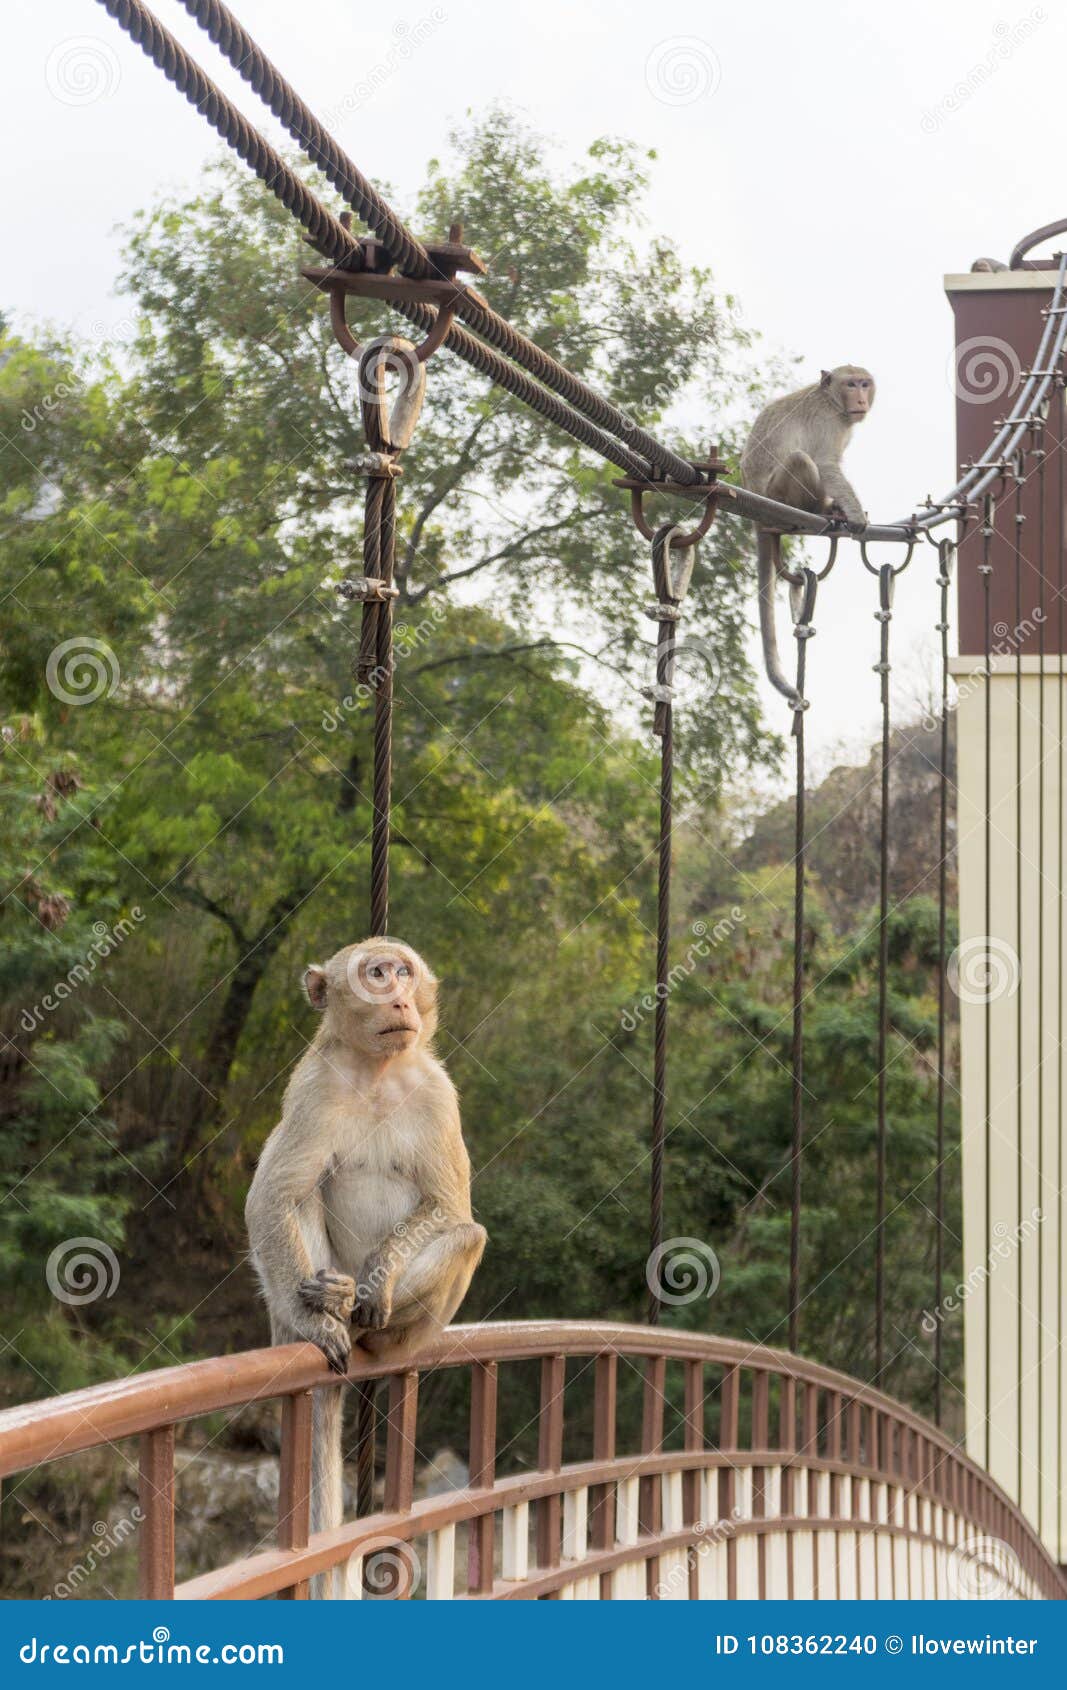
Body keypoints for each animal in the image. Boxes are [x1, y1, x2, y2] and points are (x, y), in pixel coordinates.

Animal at [245, 937, 486, 1597]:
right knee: (301, 1191)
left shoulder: (438, 1091)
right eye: (376, 974)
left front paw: (378, 1278)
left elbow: (449, 1206)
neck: (377, 1072)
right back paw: (323, 1310)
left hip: (409, 1330)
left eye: (403, 971)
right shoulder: (312, 1087)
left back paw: (363, 1310)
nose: (399, 995)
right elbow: (273, 1196)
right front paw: (315, 1321)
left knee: (468, 1235)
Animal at [739, 365, 875, 706]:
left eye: (864, 383)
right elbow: (826, 464)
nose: (861, 397)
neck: (832, 400)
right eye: (851, 384)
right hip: (779, 492)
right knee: (801, 459)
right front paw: (854, 515)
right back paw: (821, 509)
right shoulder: (829, 423)